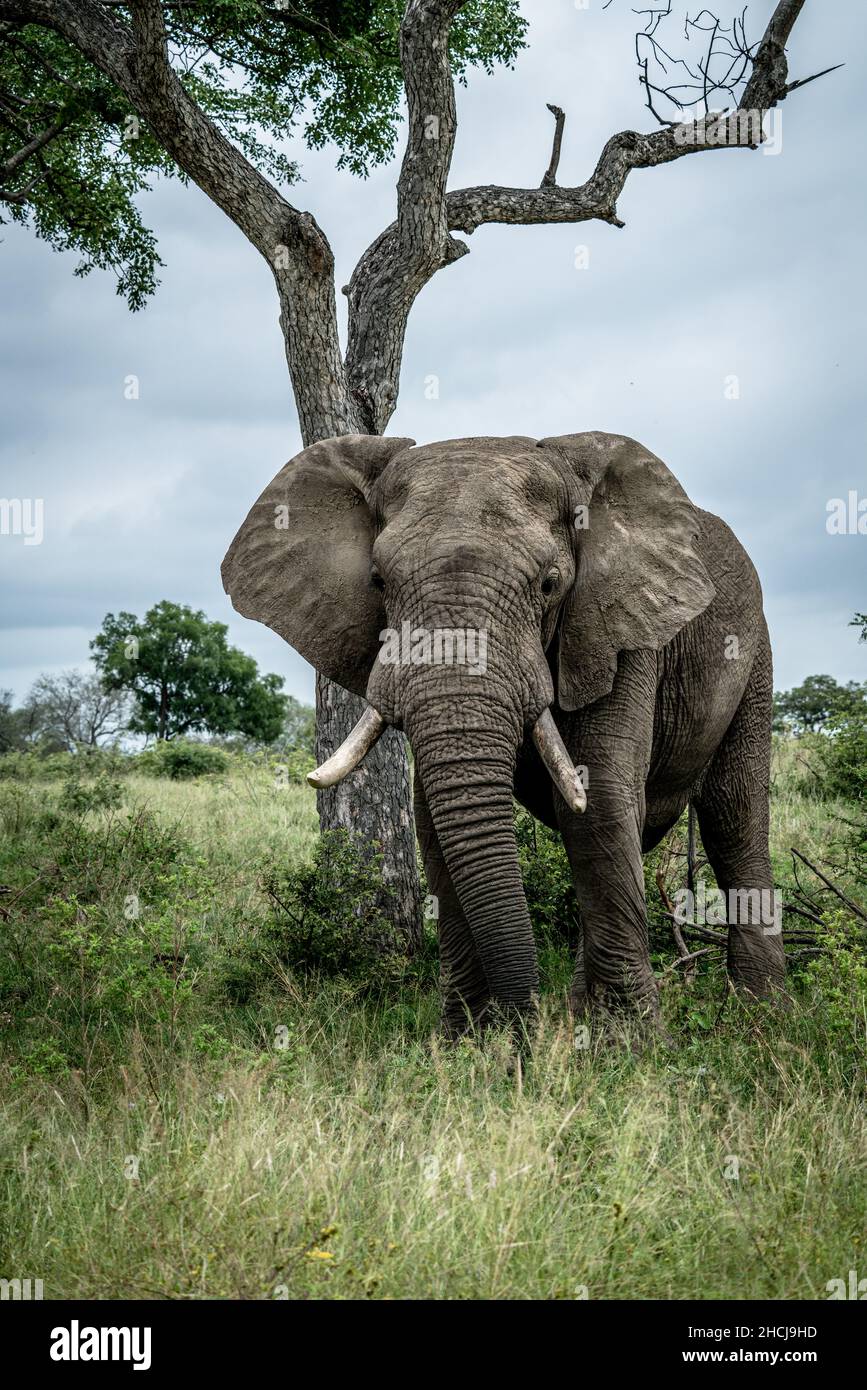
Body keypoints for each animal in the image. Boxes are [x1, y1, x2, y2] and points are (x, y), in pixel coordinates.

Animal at [222, 430, 785, 1037]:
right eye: (378, 582)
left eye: (550, 585)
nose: (525, 1031)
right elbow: (433, 824)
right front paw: (463, 1041)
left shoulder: (619, 632)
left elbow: (599, 799)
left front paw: (629, 1042)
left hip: (754, 654)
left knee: (733, 816)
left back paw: (762, 1018)